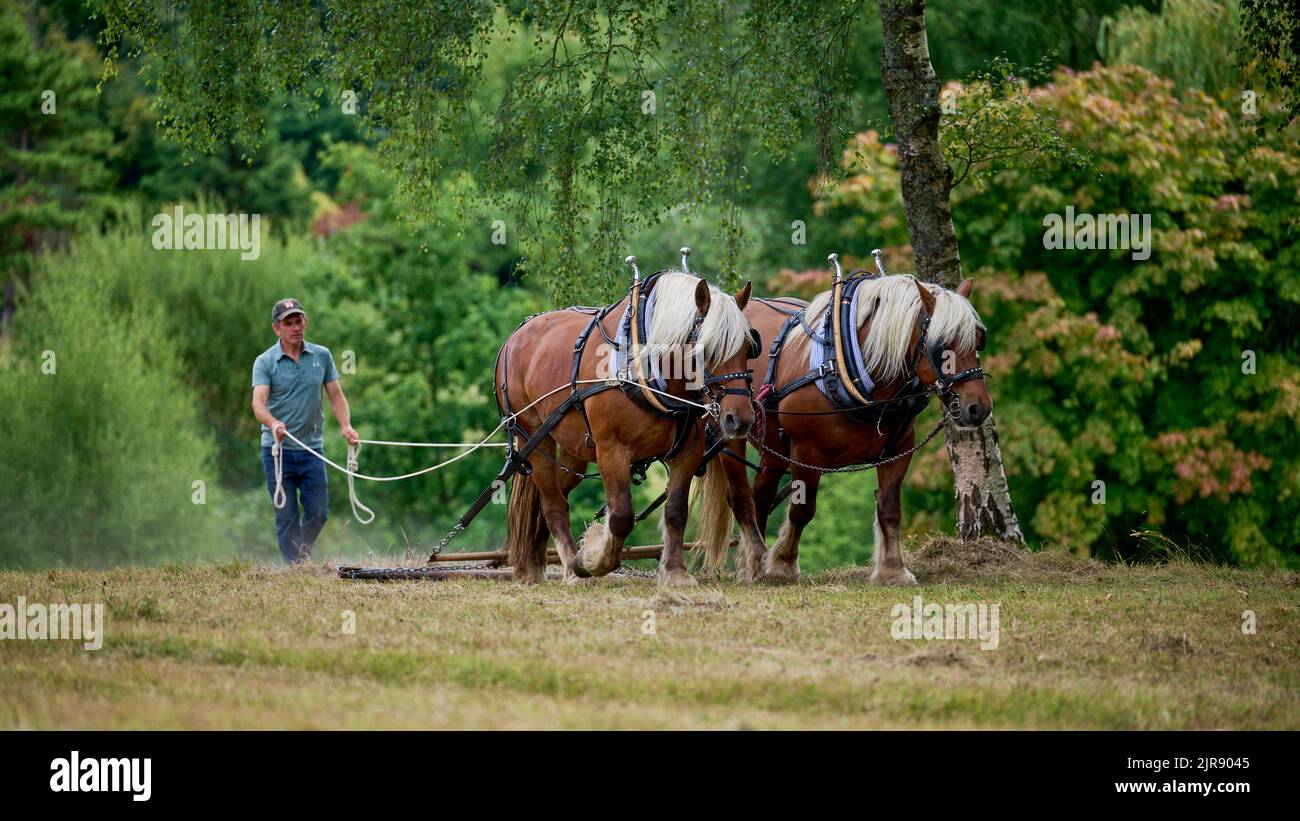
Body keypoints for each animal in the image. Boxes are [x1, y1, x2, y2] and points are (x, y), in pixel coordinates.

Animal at [498, 270, 767, 587]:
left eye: (749, 348)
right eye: (707, 349)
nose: (740, 419)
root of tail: (516, 336)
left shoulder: (688, 451)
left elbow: (676, 511)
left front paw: (674, 572)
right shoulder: (611, 450)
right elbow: (621, 516)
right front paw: (593, 560)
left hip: (573, 450)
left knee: (547, 499)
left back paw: (531, 565)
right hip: (534, 437)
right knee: (553, 503)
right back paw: (571, 569)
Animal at [702, 272, 991, 586]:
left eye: (978, 339)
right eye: (943, 345)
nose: (979, 408)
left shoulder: (900, 449)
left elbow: (890, 507)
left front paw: (893, 570)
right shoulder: (806, 452)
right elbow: (803, 509)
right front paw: (782, 564)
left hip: (774, 446)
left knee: (762, 497)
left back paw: (752, 563)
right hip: (730, 429)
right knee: (742, 498)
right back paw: (756, 561)